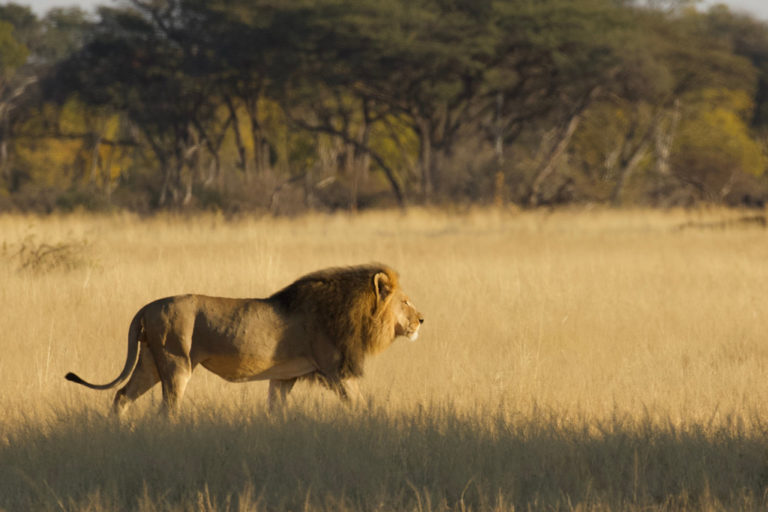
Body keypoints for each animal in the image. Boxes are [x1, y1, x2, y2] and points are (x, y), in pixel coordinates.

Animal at [65, 264, 423, 415]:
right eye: (405, 301)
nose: (422, 319)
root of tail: (146, 308)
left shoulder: (284, 377)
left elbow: (276, 410)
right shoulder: (337, 372)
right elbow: (360, 404)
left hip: (151, 362)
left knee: (121, 396)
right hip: (176, 363)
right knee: (167, 410)